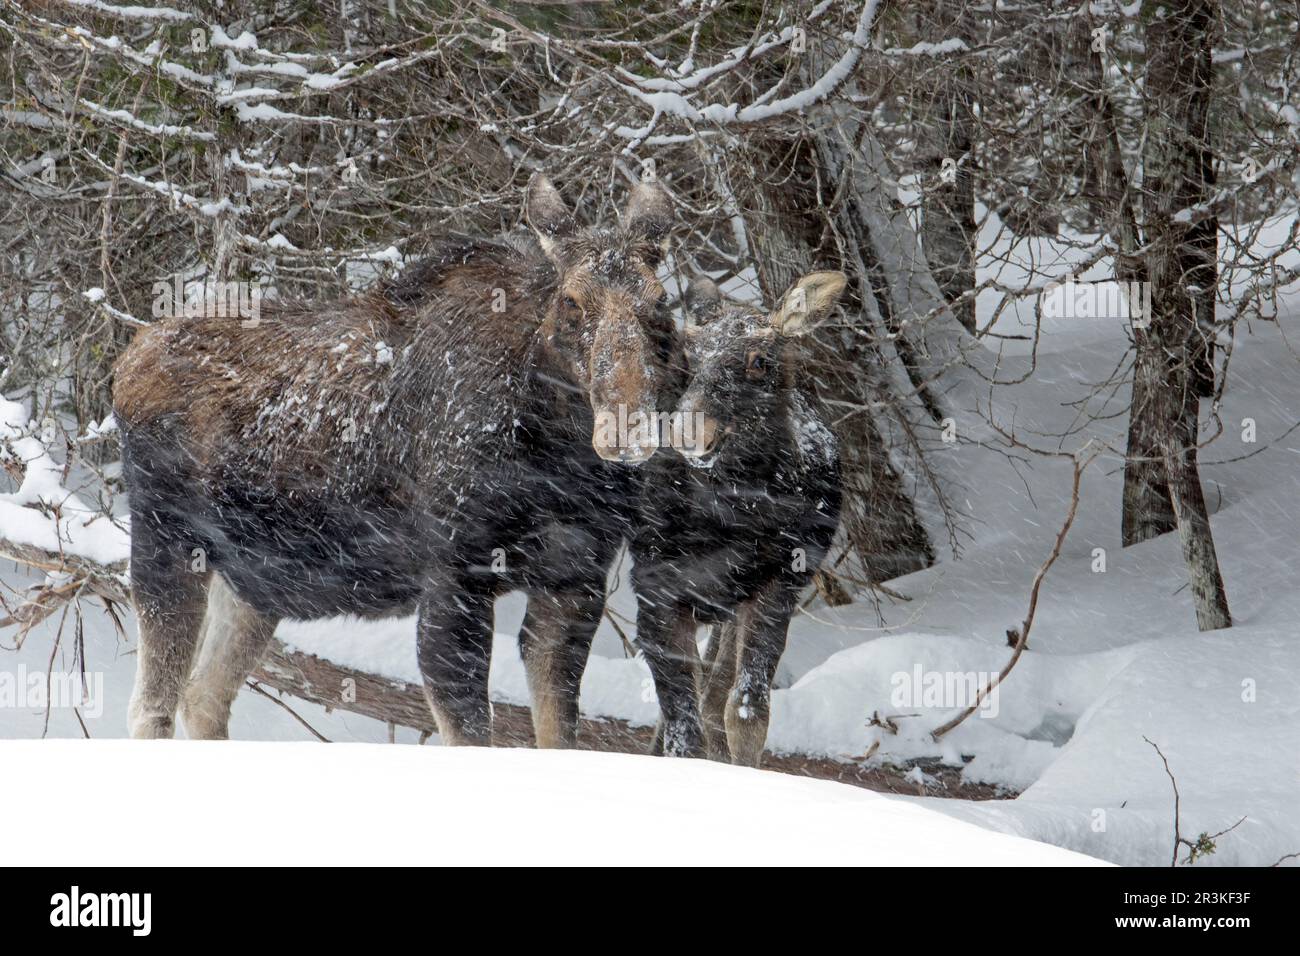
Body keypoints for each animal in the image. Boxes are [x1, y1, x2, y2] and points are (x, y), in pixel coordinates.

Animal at [112, 175, 683, 750]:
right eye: (571, 301)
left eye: (660, 302)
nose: (627, 427)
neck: (557, 458)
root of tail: (126, 360)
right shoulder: (454, 578)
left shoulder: (574, 584)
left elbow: (558, 735)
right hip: (167, 540)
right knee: (150, 708)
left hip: (253, 579)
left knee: (202, 697)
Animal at [631, 272, 846, 765]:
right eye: (683, 351)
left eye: (759, 361)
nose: (688, 431)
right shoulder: (655, 591)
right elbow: (683, 730)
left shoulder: (779, 584)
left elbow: (746, 712)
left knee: (714, 694)